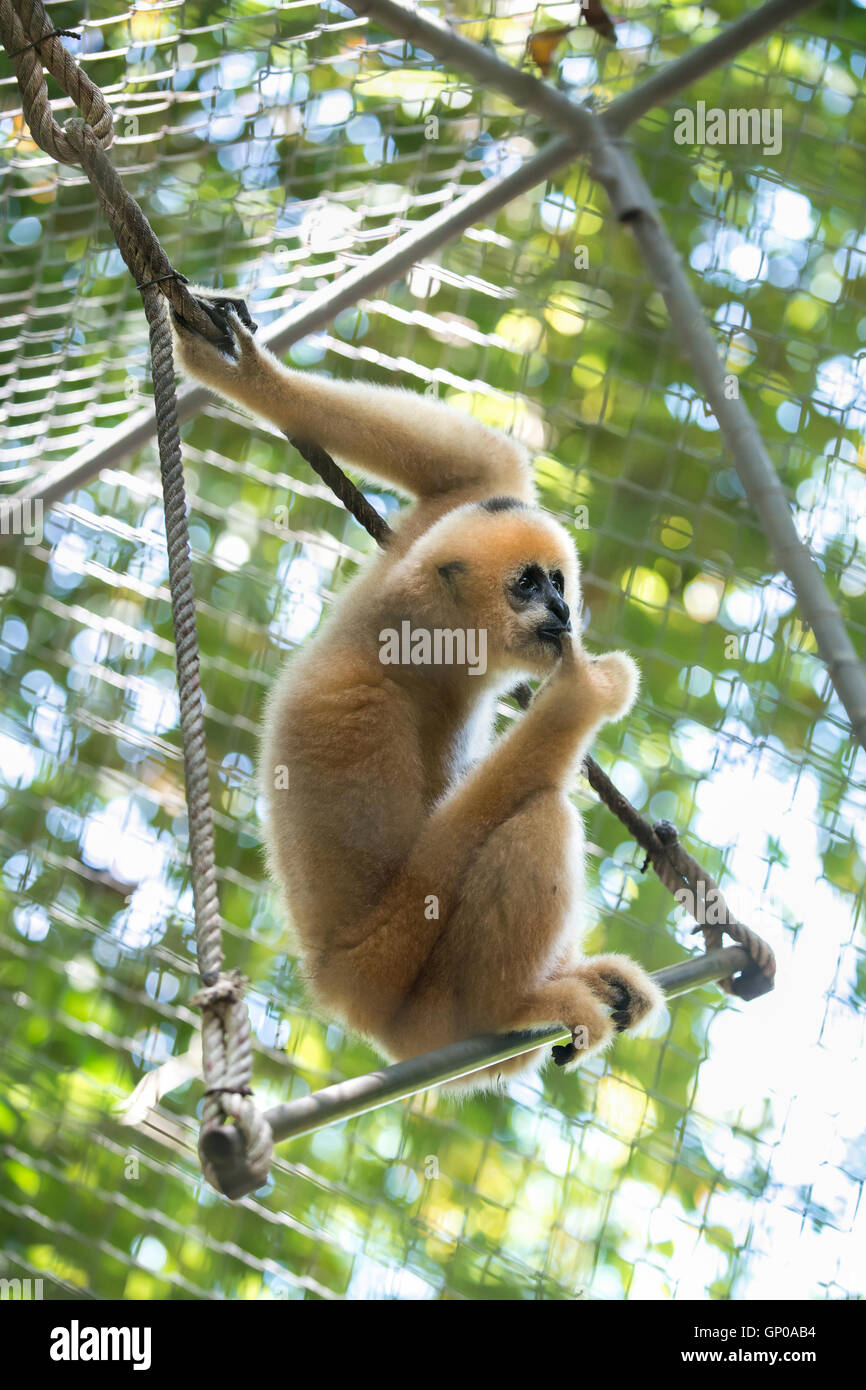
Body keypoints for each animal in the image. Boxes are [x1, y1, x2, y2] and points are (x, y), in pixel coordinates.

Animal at [172, 297, 663, 1090]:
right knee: (541, 814)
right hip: (419, 1010)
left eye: (558, 581)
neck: (415, 652)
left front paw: (254, 379)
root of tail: (371, 1028)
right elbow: (395, 900)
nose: (562, 610)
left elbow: (487, 466)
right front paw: (580, 696)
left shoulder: (411, 547)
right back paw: (514, 1005)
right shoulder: (350, 712)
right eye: (528, 584)